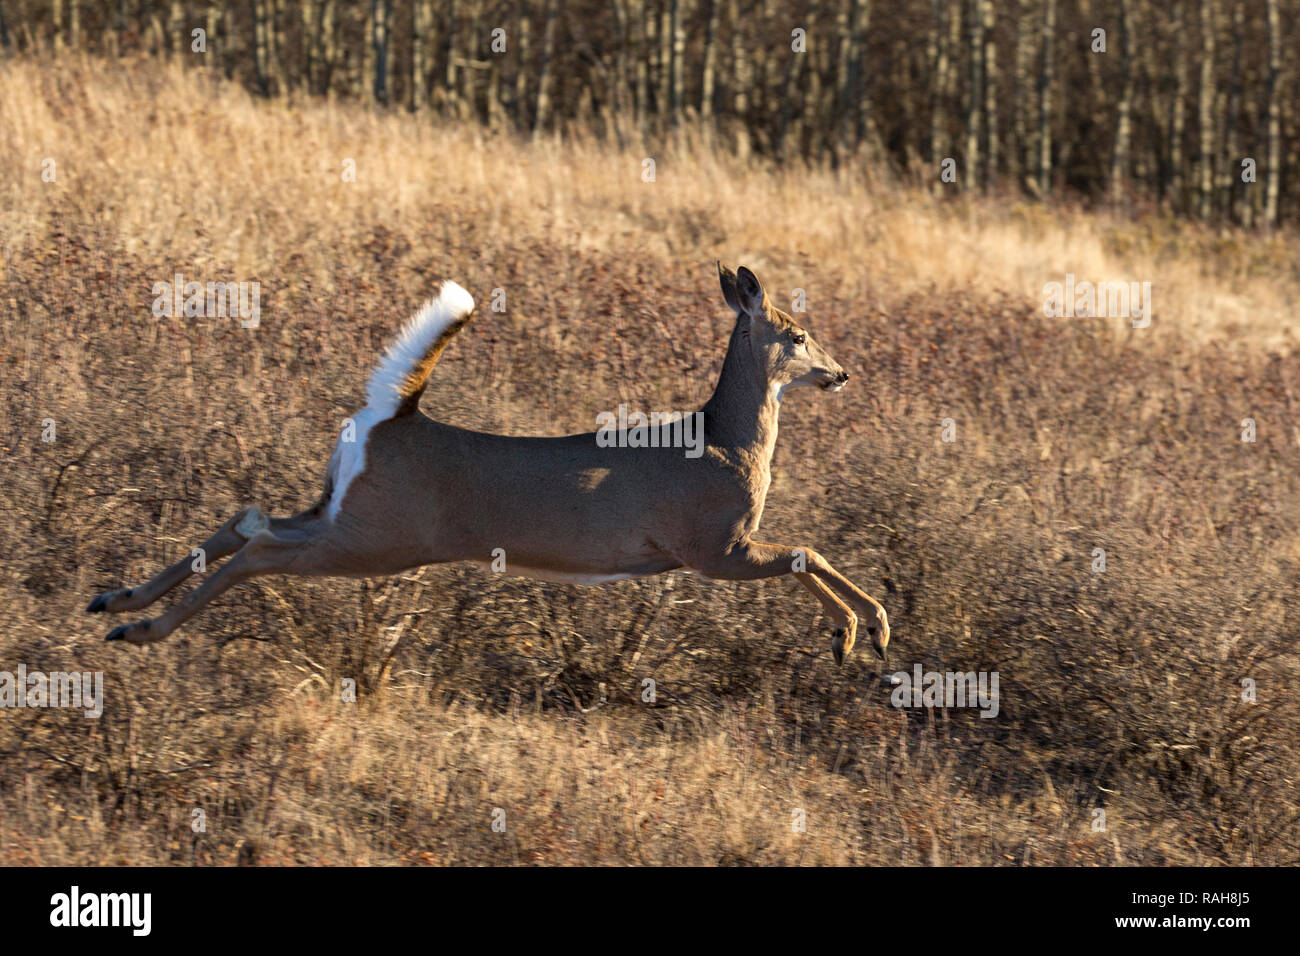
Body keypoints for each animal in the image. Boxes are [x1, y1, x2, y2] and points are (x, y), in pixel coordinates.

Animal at [87, 264, 890, 665]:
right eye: (797, 334)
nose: (841, 373)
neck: (728, 442)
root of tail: (394, 418)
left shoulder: (710, 550)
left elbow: (807, 552)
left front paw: (858, 632)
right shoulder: (710, 544)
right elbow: (805, 551)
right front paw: (861, 632)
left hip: (344, 511)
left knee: (246, 518)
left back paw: (116, 605)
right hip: (383, 537)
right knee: (258, 550)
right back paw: (142, 631)